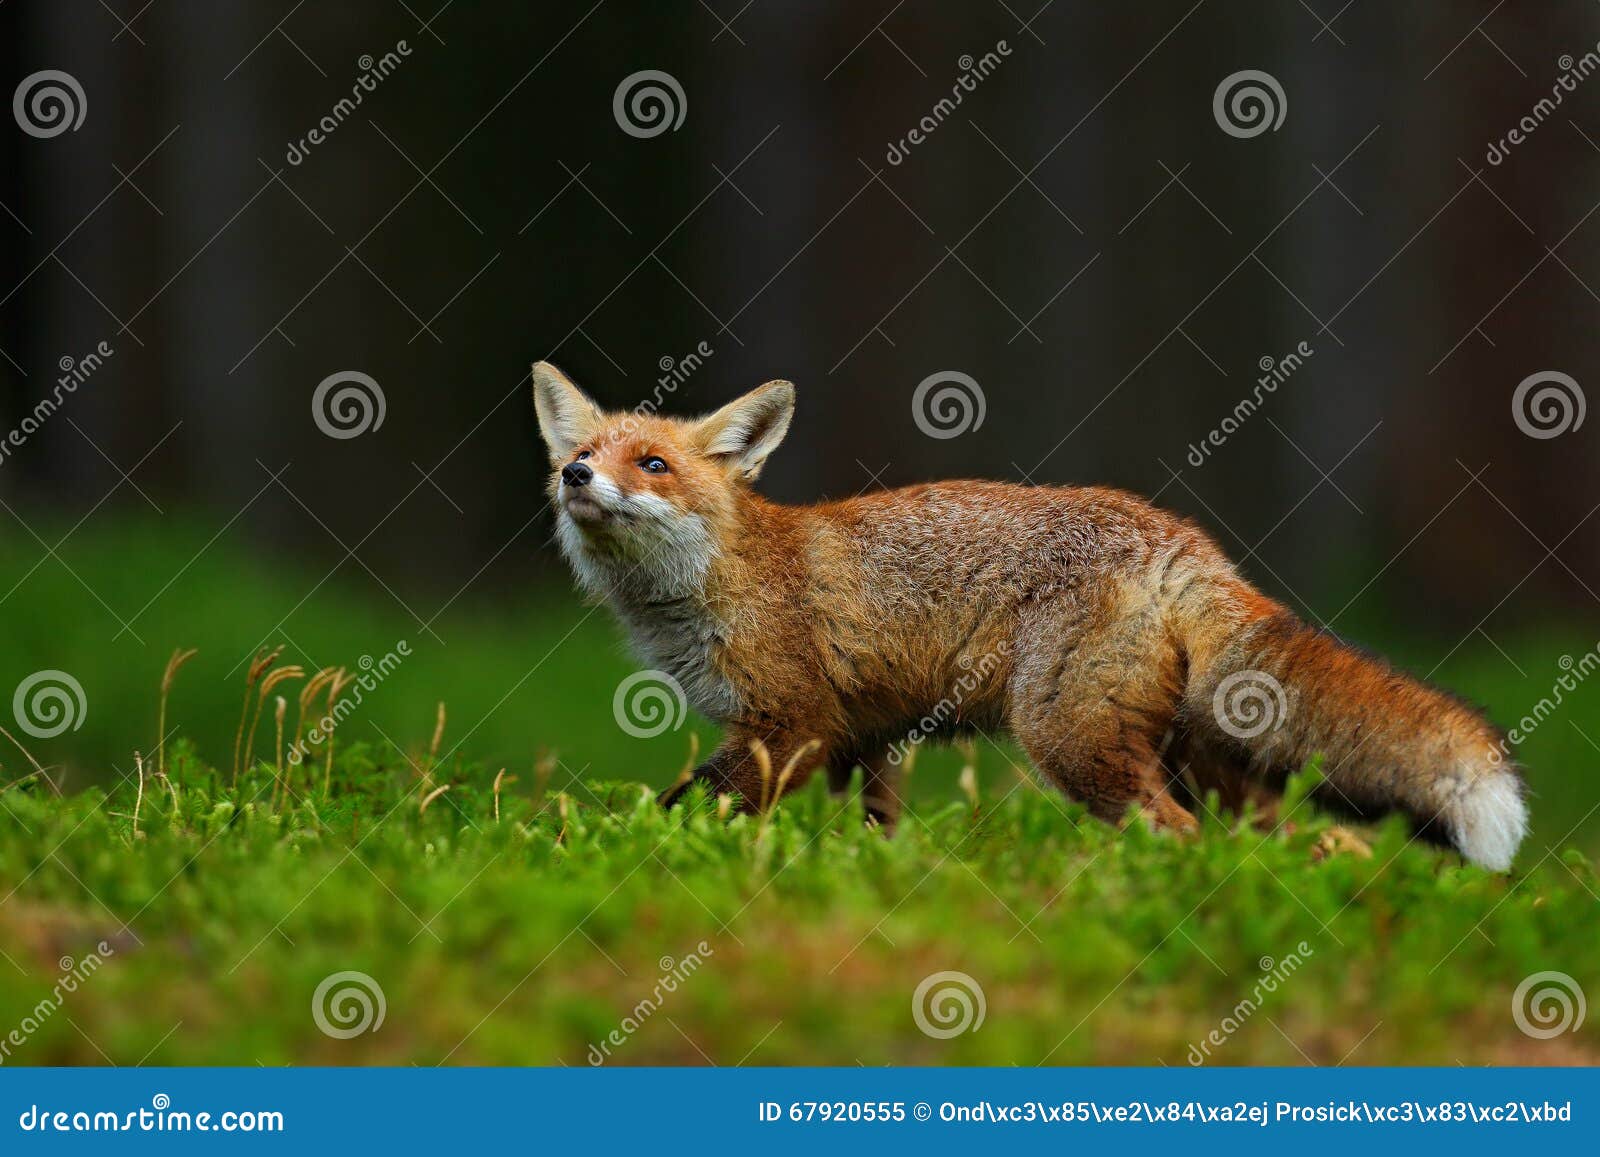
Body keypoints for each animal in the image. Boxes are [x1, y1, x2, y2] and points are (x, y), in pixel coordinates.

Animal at [531, 361, 1529, 871]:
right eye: (582, 452)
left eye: (652, 464)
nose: (576, 475)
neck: (721, 578)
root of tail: (1184, 539)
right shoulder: (866, 734)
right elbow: (877, 830)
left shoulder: (793, 721)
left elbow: (688, 803)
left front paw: (609, 845)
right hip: (1204, 762)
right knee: (1317, 842)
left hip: (1070, 738)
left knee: (1176, 834)